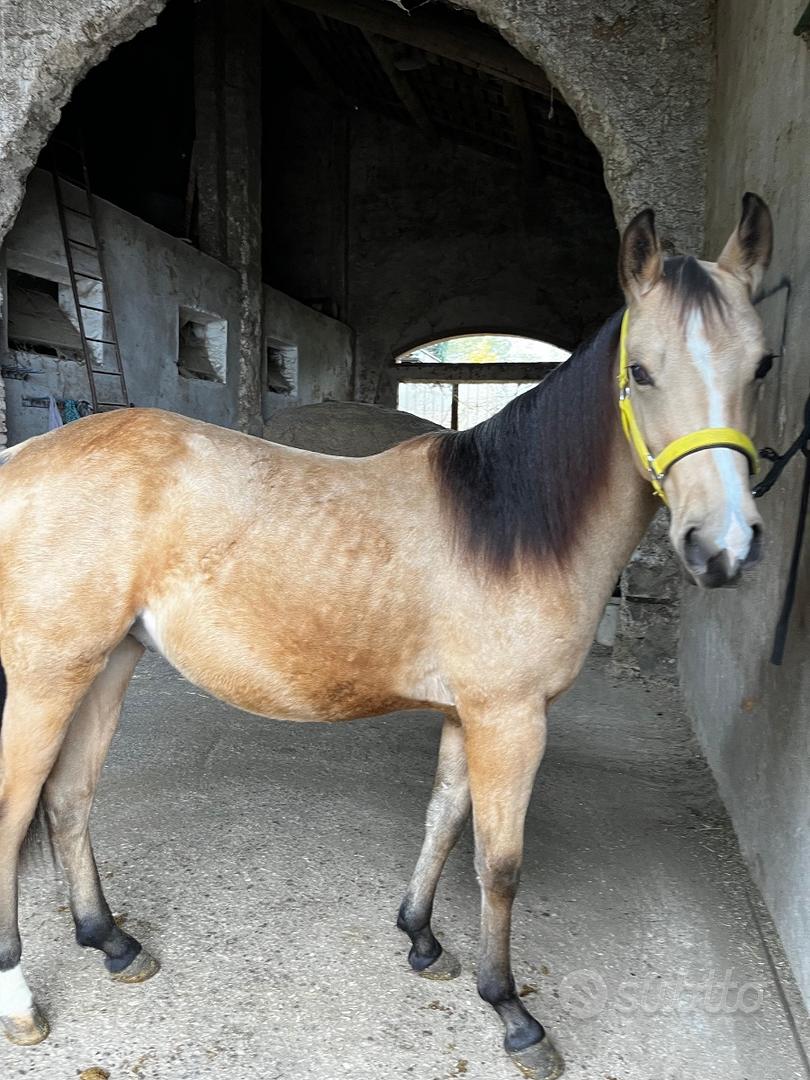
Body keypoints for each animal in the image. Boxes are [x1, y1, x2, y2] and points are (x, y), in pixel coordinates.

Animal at [0, 194, 773, 1080]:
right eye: (640, 371)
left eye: (762, 366)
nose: (725, 547)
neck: (512, 525)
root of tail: (20, 457)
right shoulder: (512, 719)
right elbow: (500, 864)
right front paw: (513, 1015)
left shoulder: (469, 717)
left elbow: (442, 820)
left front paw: (422, 941)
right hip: (46, 680)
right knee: (15, 814)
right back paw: (22, 1004)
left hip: (108, 664)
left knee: (69, 800)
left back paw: (113, 944)